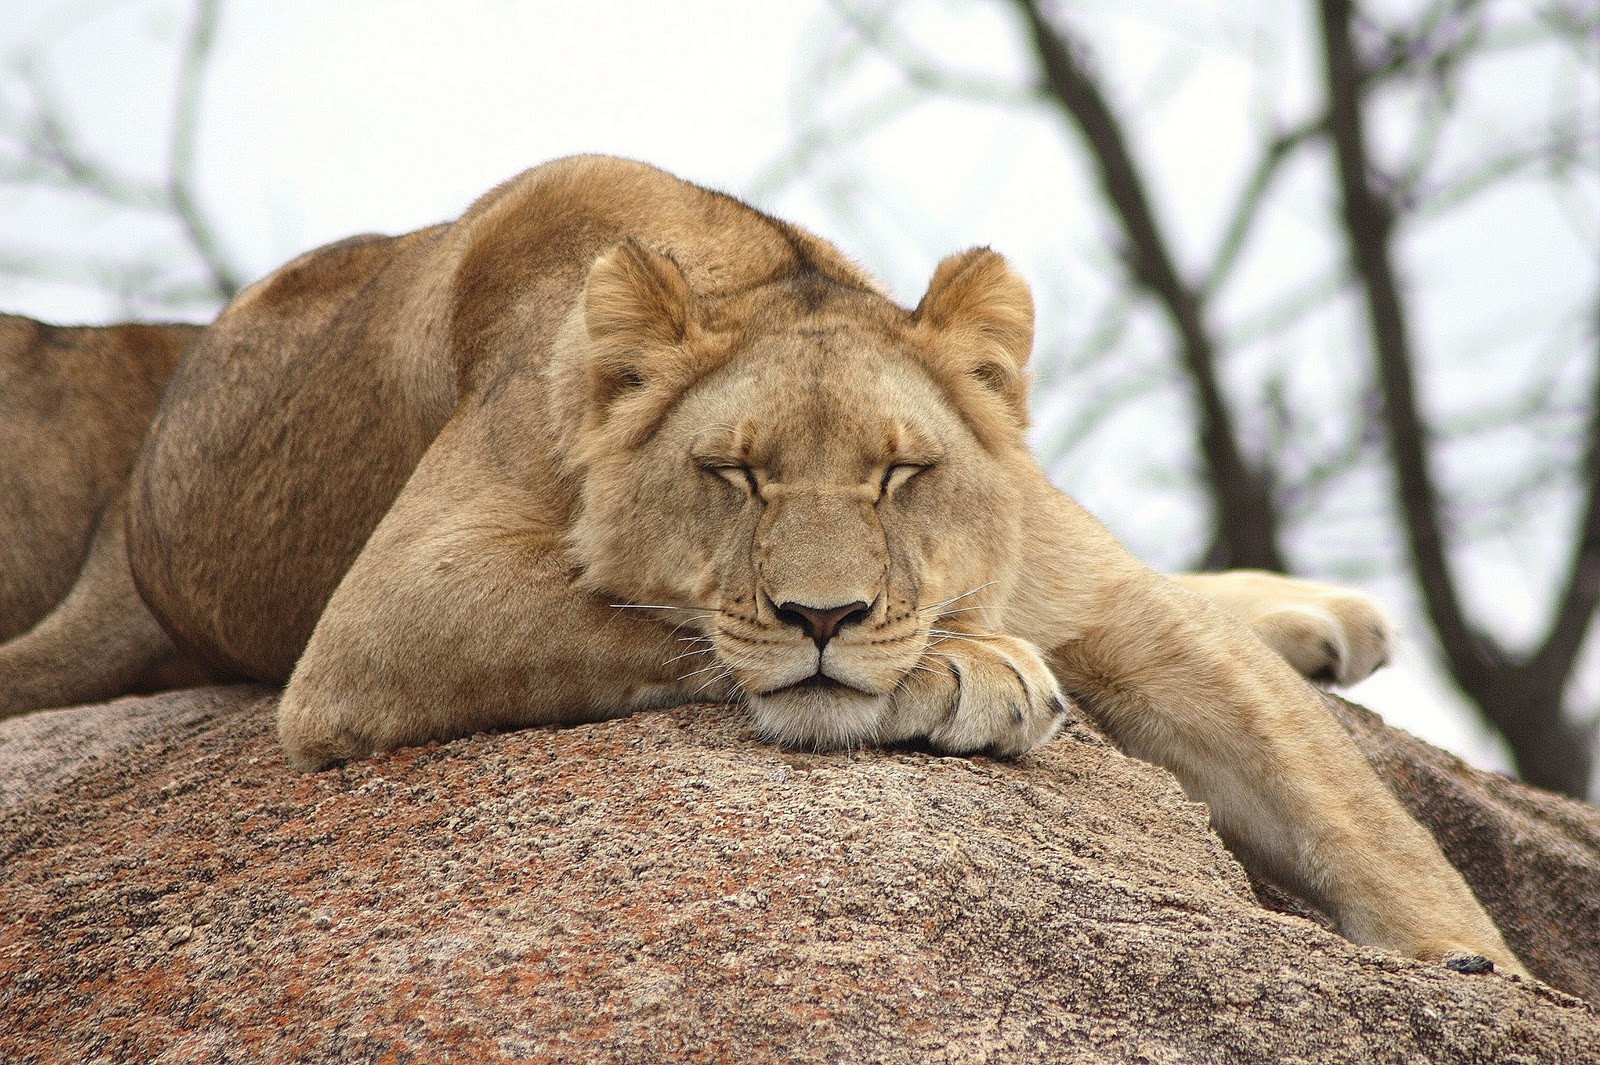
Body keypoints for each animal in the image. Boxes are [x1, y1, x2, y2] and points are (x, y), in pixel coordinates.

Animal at [0, 156, 1523, 977]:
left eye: (903, 472)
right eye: (731, 474)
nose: (825, 612)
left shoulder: (1117, 609)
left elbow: (1355, 814)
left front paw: (1477, 969)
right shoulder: (384, 611)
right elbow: (656, 615)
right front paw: (967, 674)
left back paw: (1321, 616)